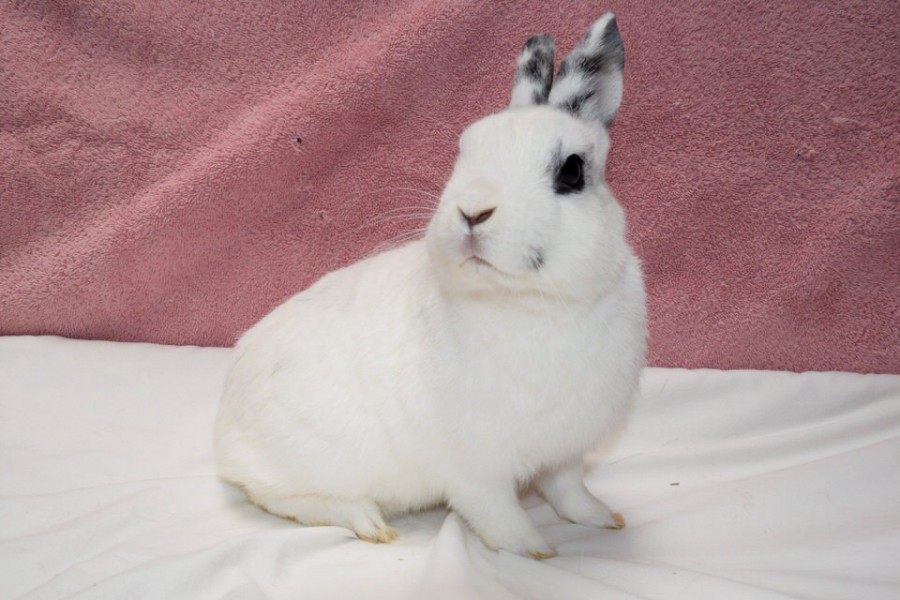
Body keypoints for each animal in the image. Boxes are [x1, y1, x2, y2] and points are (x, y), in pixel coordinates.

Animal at [214, 12, 646, 560]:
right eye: (464, 151)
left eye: (571, 171)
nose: (473, 211)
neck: (534, 305)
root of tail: (225, 428)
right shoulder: (475, 468)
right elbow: (497, 513)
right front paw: (535, 549)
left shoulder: (564, 451)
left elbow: (569, 490)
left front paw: (603, 519)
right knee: (282, 496)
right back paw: (368, 521)